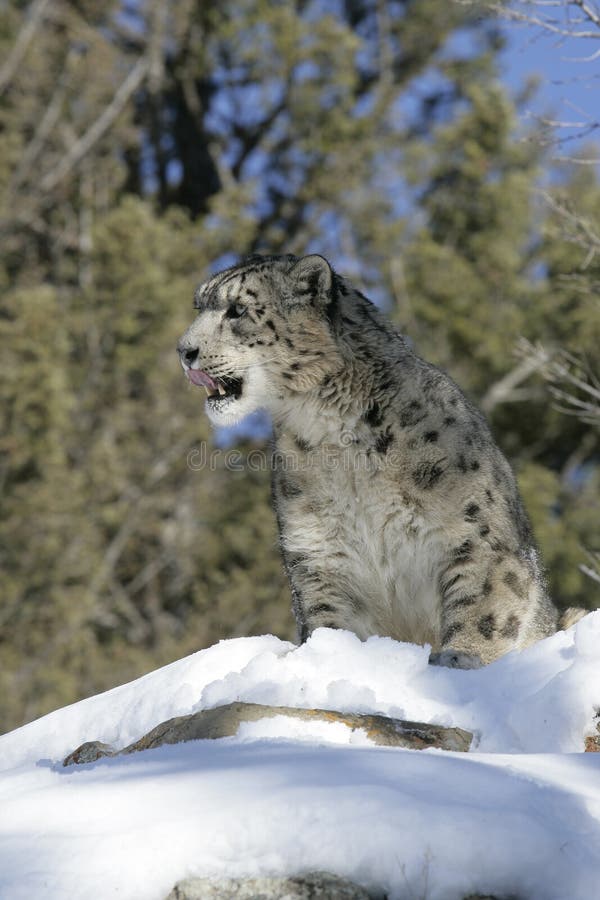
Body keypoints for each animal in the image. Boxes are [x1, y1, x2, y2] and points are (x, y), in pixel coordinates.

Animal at [177, 253, 584, 667]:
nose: (184, 351)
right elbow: (327, 624)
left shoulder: (474, 536)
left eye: (237, 309)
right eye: (199, 307)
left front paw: (457, 660)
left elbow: (482, 609)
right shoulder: (318, 555)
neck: (335, 439)